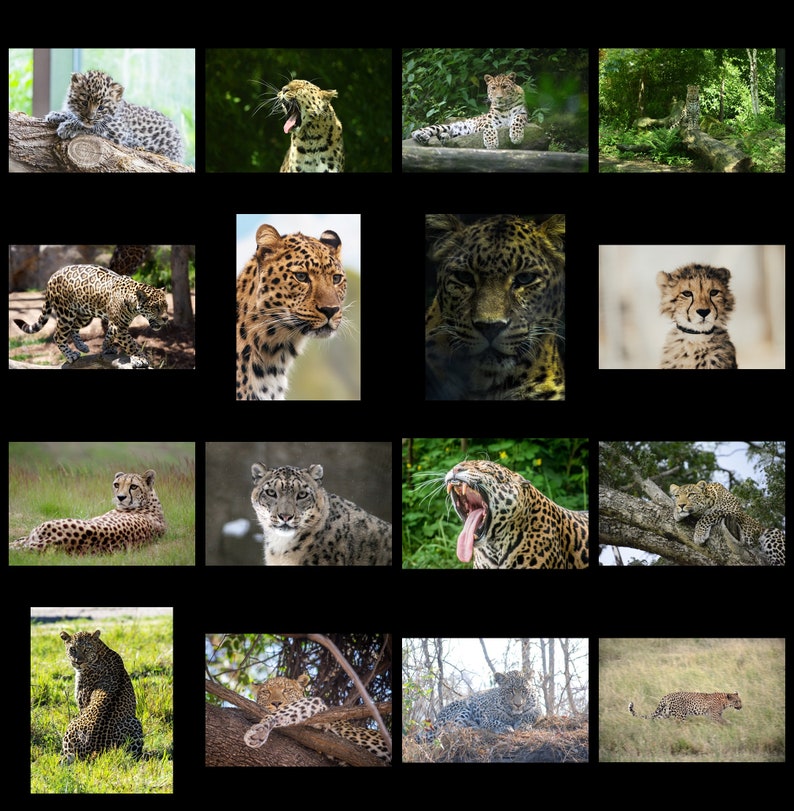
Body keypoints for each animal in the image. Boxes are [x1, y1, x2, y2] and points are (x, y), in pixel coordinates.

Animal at [13, 264, 169, 368]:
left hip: (84, 314)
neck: (132, 302)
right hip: (66, 314)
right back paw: (71, 355)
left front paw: (106, 347)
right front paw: (139, 358)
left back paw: (82, 347)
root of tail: (52, 276)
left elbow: (110, 334)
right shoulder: (119, 325)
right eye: (156, 308)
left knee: (74, 328)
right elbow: (131, 343)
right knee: (58, 335)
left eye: (166, 306)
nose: (166, 318)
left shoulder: (116, 324)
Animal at [45, 70, 184, 162]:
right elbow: (74, 115)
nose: (90, 118)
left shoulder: (118, 130)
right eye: (84, 103)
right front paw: (57, 115)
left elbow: (91, 126)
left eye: (101, 107)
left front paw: (67, 127)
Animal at [58, 630, 143, 764]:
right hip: (136, 723)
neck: (100, 651)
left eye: (86, 649)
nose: (78, 662)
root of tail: (96, 749)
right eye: (72, 649)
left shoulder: (82, 704)